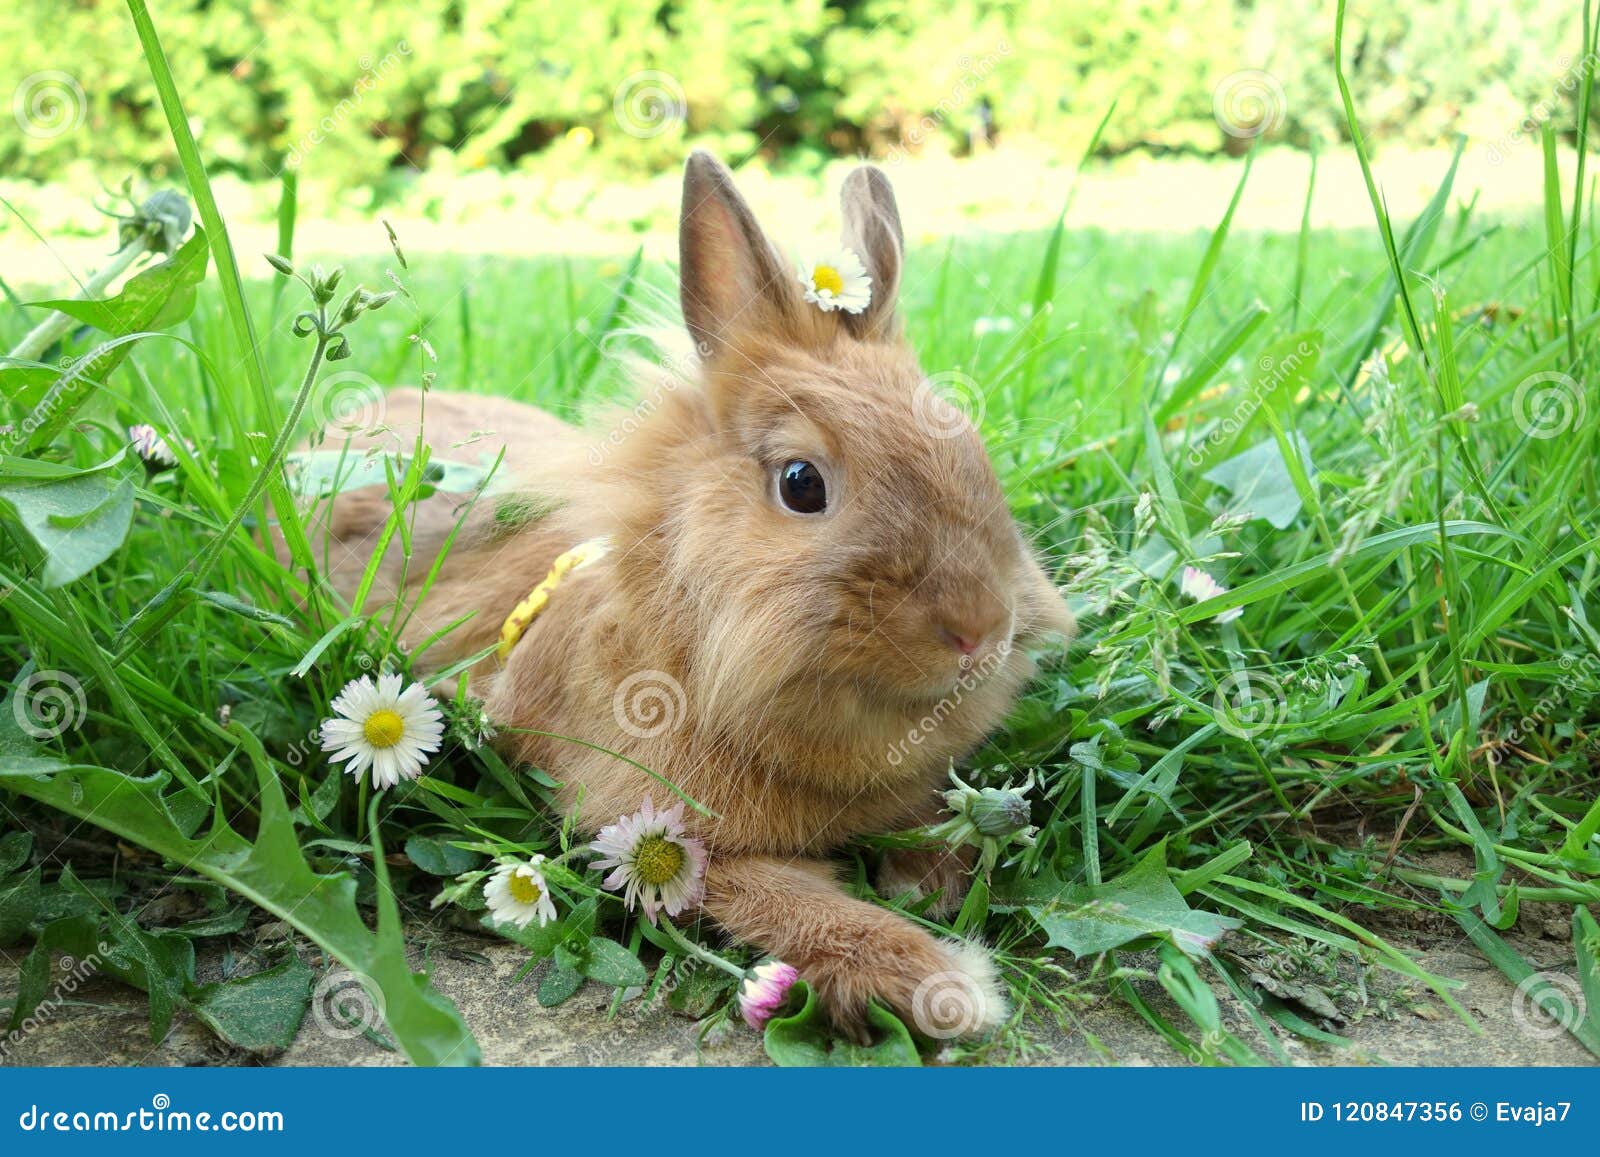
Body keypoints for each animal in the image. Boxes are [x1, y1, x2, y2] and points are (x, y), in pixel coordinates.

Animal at [312, 151, 1074, 1039]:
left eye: (974, 452)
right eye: (801, 483)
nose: (981, 629)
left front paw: (930, 879)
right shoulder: (667, 838)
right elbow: (796, 906)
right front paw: (947, 986)